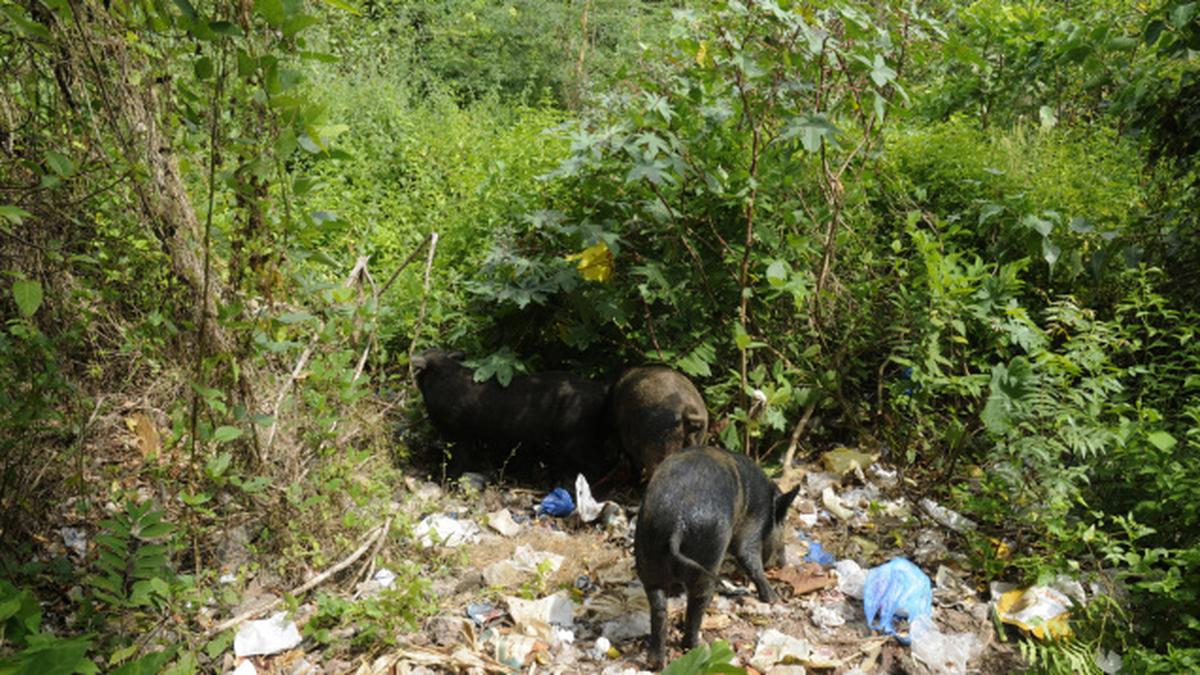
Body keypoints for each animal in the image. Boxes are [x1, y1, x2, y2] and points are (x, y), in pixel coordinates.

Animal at [634, 446, 799, 669]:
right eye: (783, 524)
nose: (783, 563)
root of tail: (678, 522)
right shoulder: (753, 523)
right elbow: (749, 556)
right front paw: (773, 599)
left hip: (649, 556)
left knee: (659, 607)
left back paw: (657, 663)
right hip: (709, 552)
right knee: (698, 601)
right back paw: (697, 647)